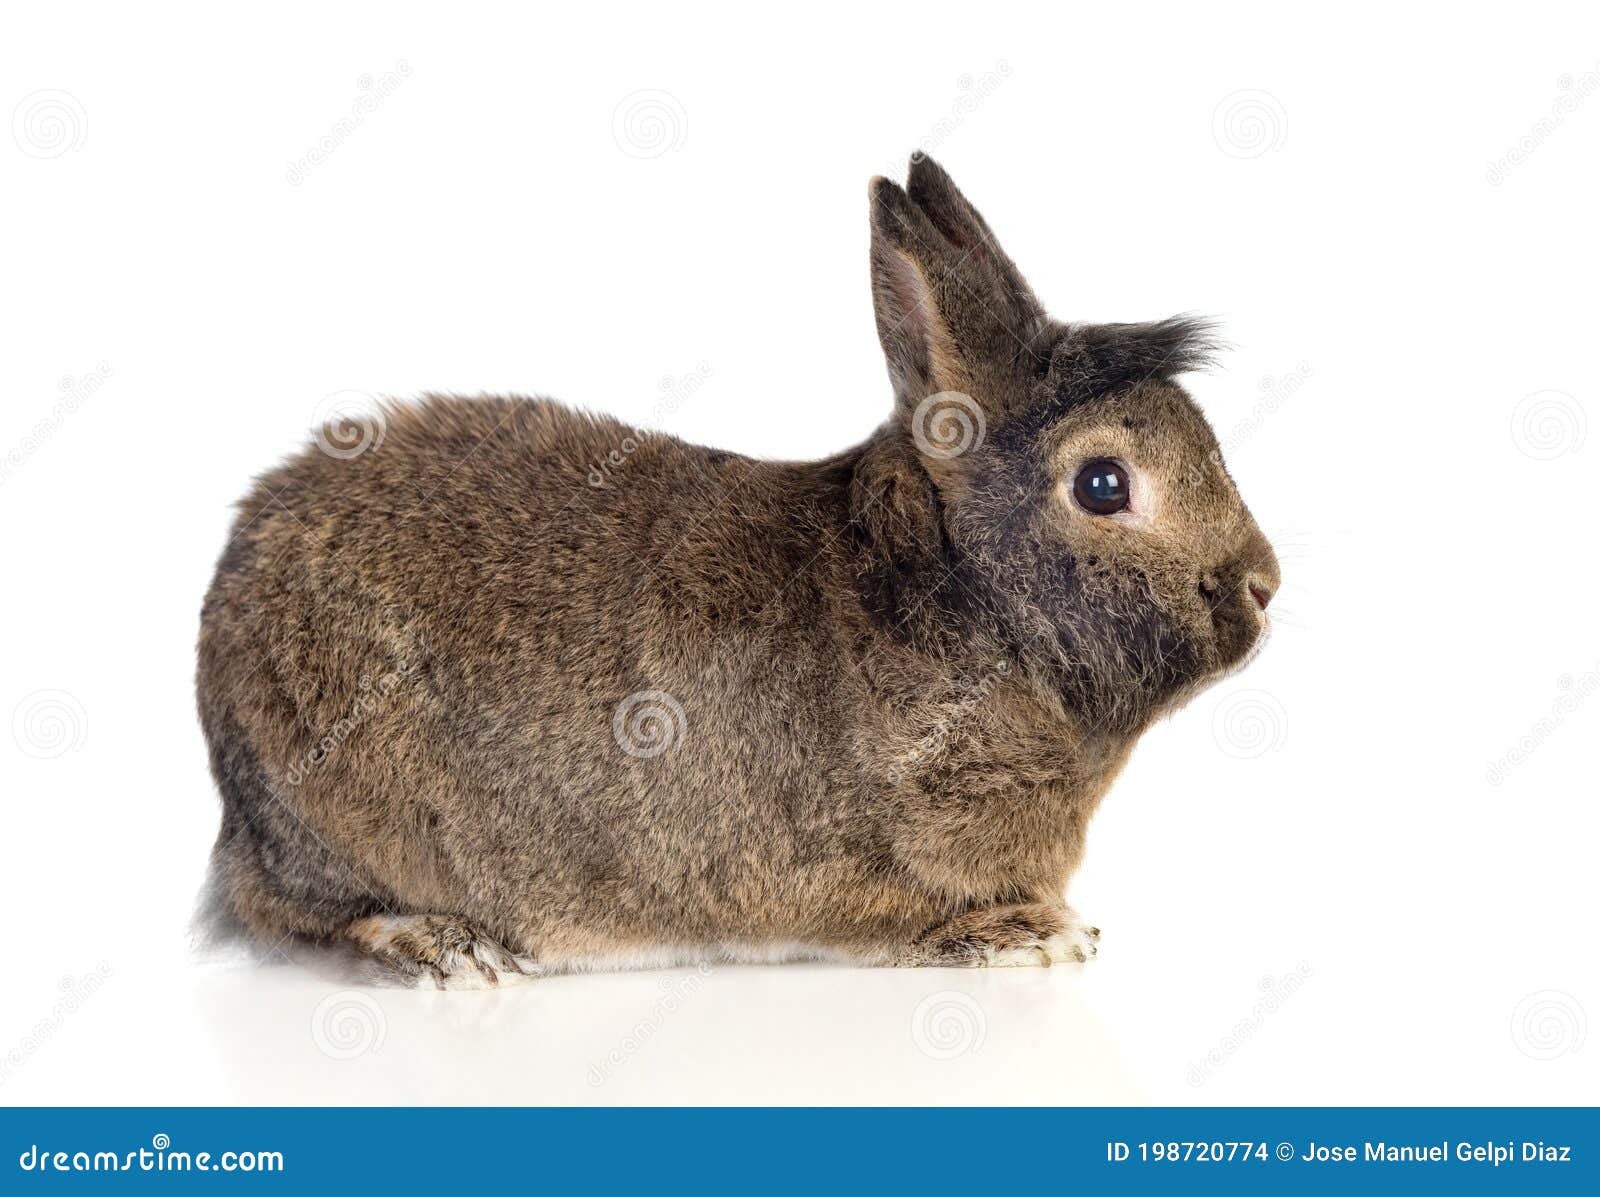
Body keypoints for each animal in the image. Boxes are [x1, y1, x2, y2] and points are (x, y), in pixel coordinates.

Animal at [195, 154, 1279, 987]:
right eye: (1103, 483)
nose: (1262, 585)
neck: (958, 597)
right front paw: (1033, 937)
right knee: (306, 916)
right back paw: (445, 947)